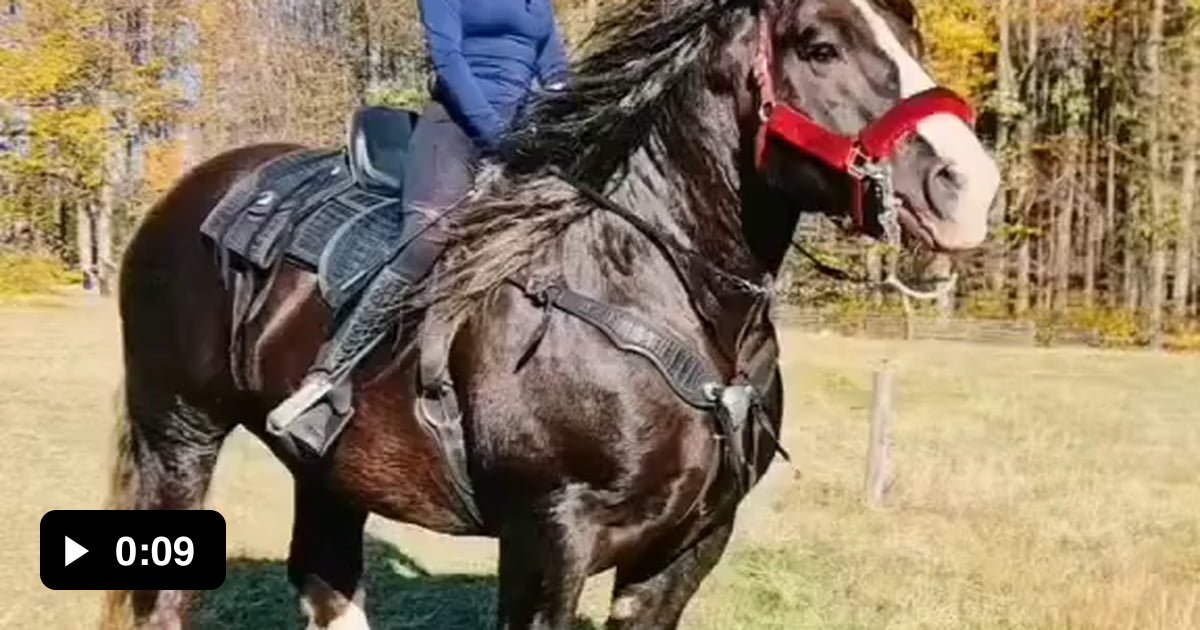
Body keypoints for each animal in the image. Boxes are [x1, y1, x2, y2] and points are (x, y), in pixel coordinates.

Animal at [102, 0, 999, 628]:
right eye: (819, 46)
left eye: (909, 33)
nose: (968, 185)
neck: (644, 287)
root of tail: (191, 193)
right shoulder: (550, 538)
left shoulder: (686, 552)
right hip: (179, 434)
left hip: (324, 469)